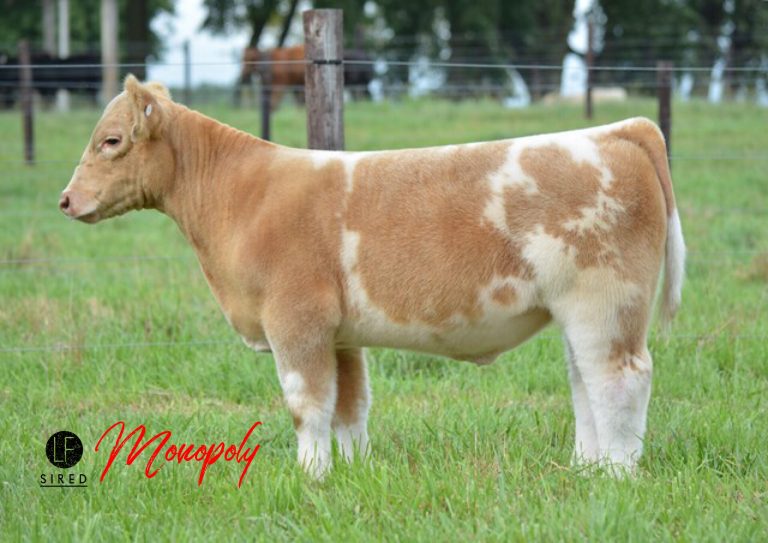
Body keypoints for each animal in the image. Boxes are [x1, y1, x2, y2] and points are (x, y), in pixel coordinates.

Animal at [60, 76, 685, 478]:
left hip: (604, 302)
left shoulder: (296, 321)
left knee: (620, 379)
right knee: (584, 382)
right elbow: (350, 407)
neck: (244, 196)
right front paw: (351, 473)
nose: (65, 200)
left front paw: (309, 478)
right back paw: (585, 469)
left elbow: (306, 404)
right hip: (579, 312)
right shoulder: (340, 335)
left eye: (110, 140)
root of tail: (616, 130)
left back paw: (617, 476)